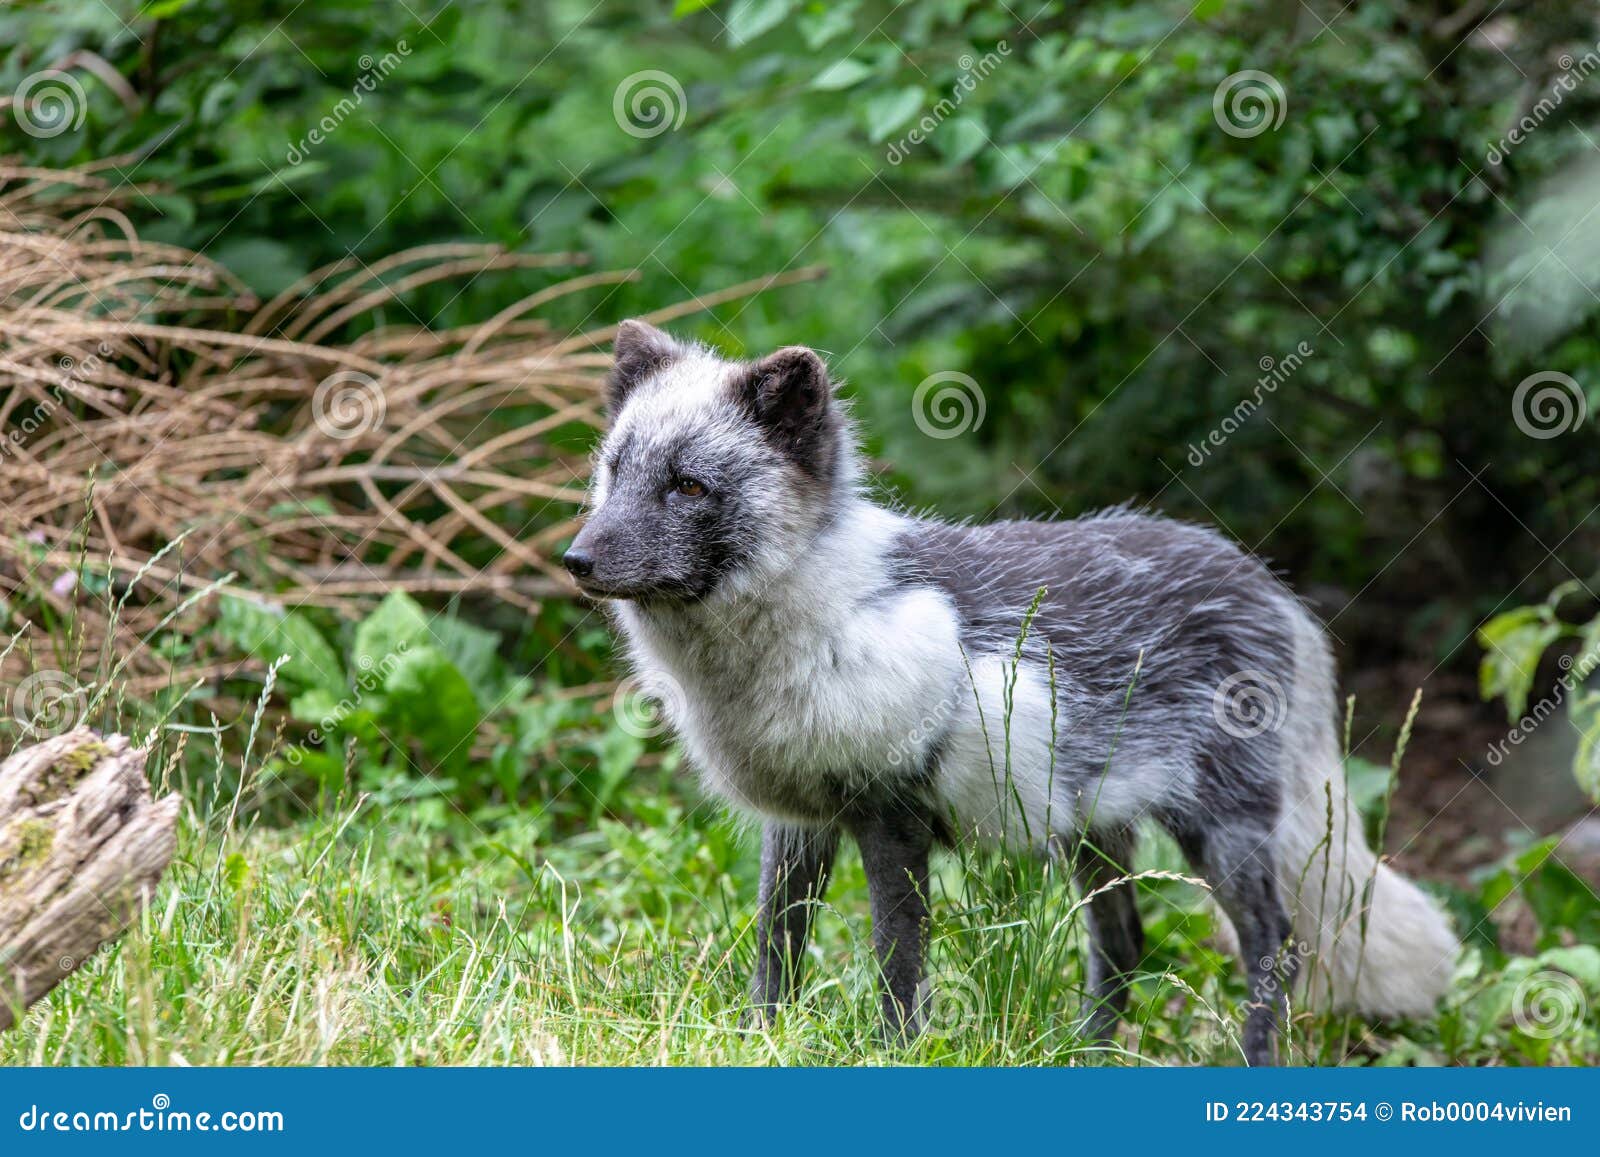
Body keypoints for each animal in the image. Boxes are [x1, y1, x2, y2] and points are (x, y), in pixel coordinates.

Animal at [564, 320, 1461, 1065]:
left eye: (688, 486)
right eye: (614, 473)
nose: (576, 561)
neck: (818, 617)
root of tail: (1275, 591)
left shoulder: (891, 818)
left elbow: (896, 964)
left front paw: (895, 1055)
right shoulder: (799, 822)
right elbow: (774, 952)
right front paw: (759, 1042)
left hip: (1225, 834)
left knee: (1275, 945)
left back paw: (1253, 1062)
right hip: (1095, 831)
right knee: (1125, 944)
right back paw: (1084, 1057)